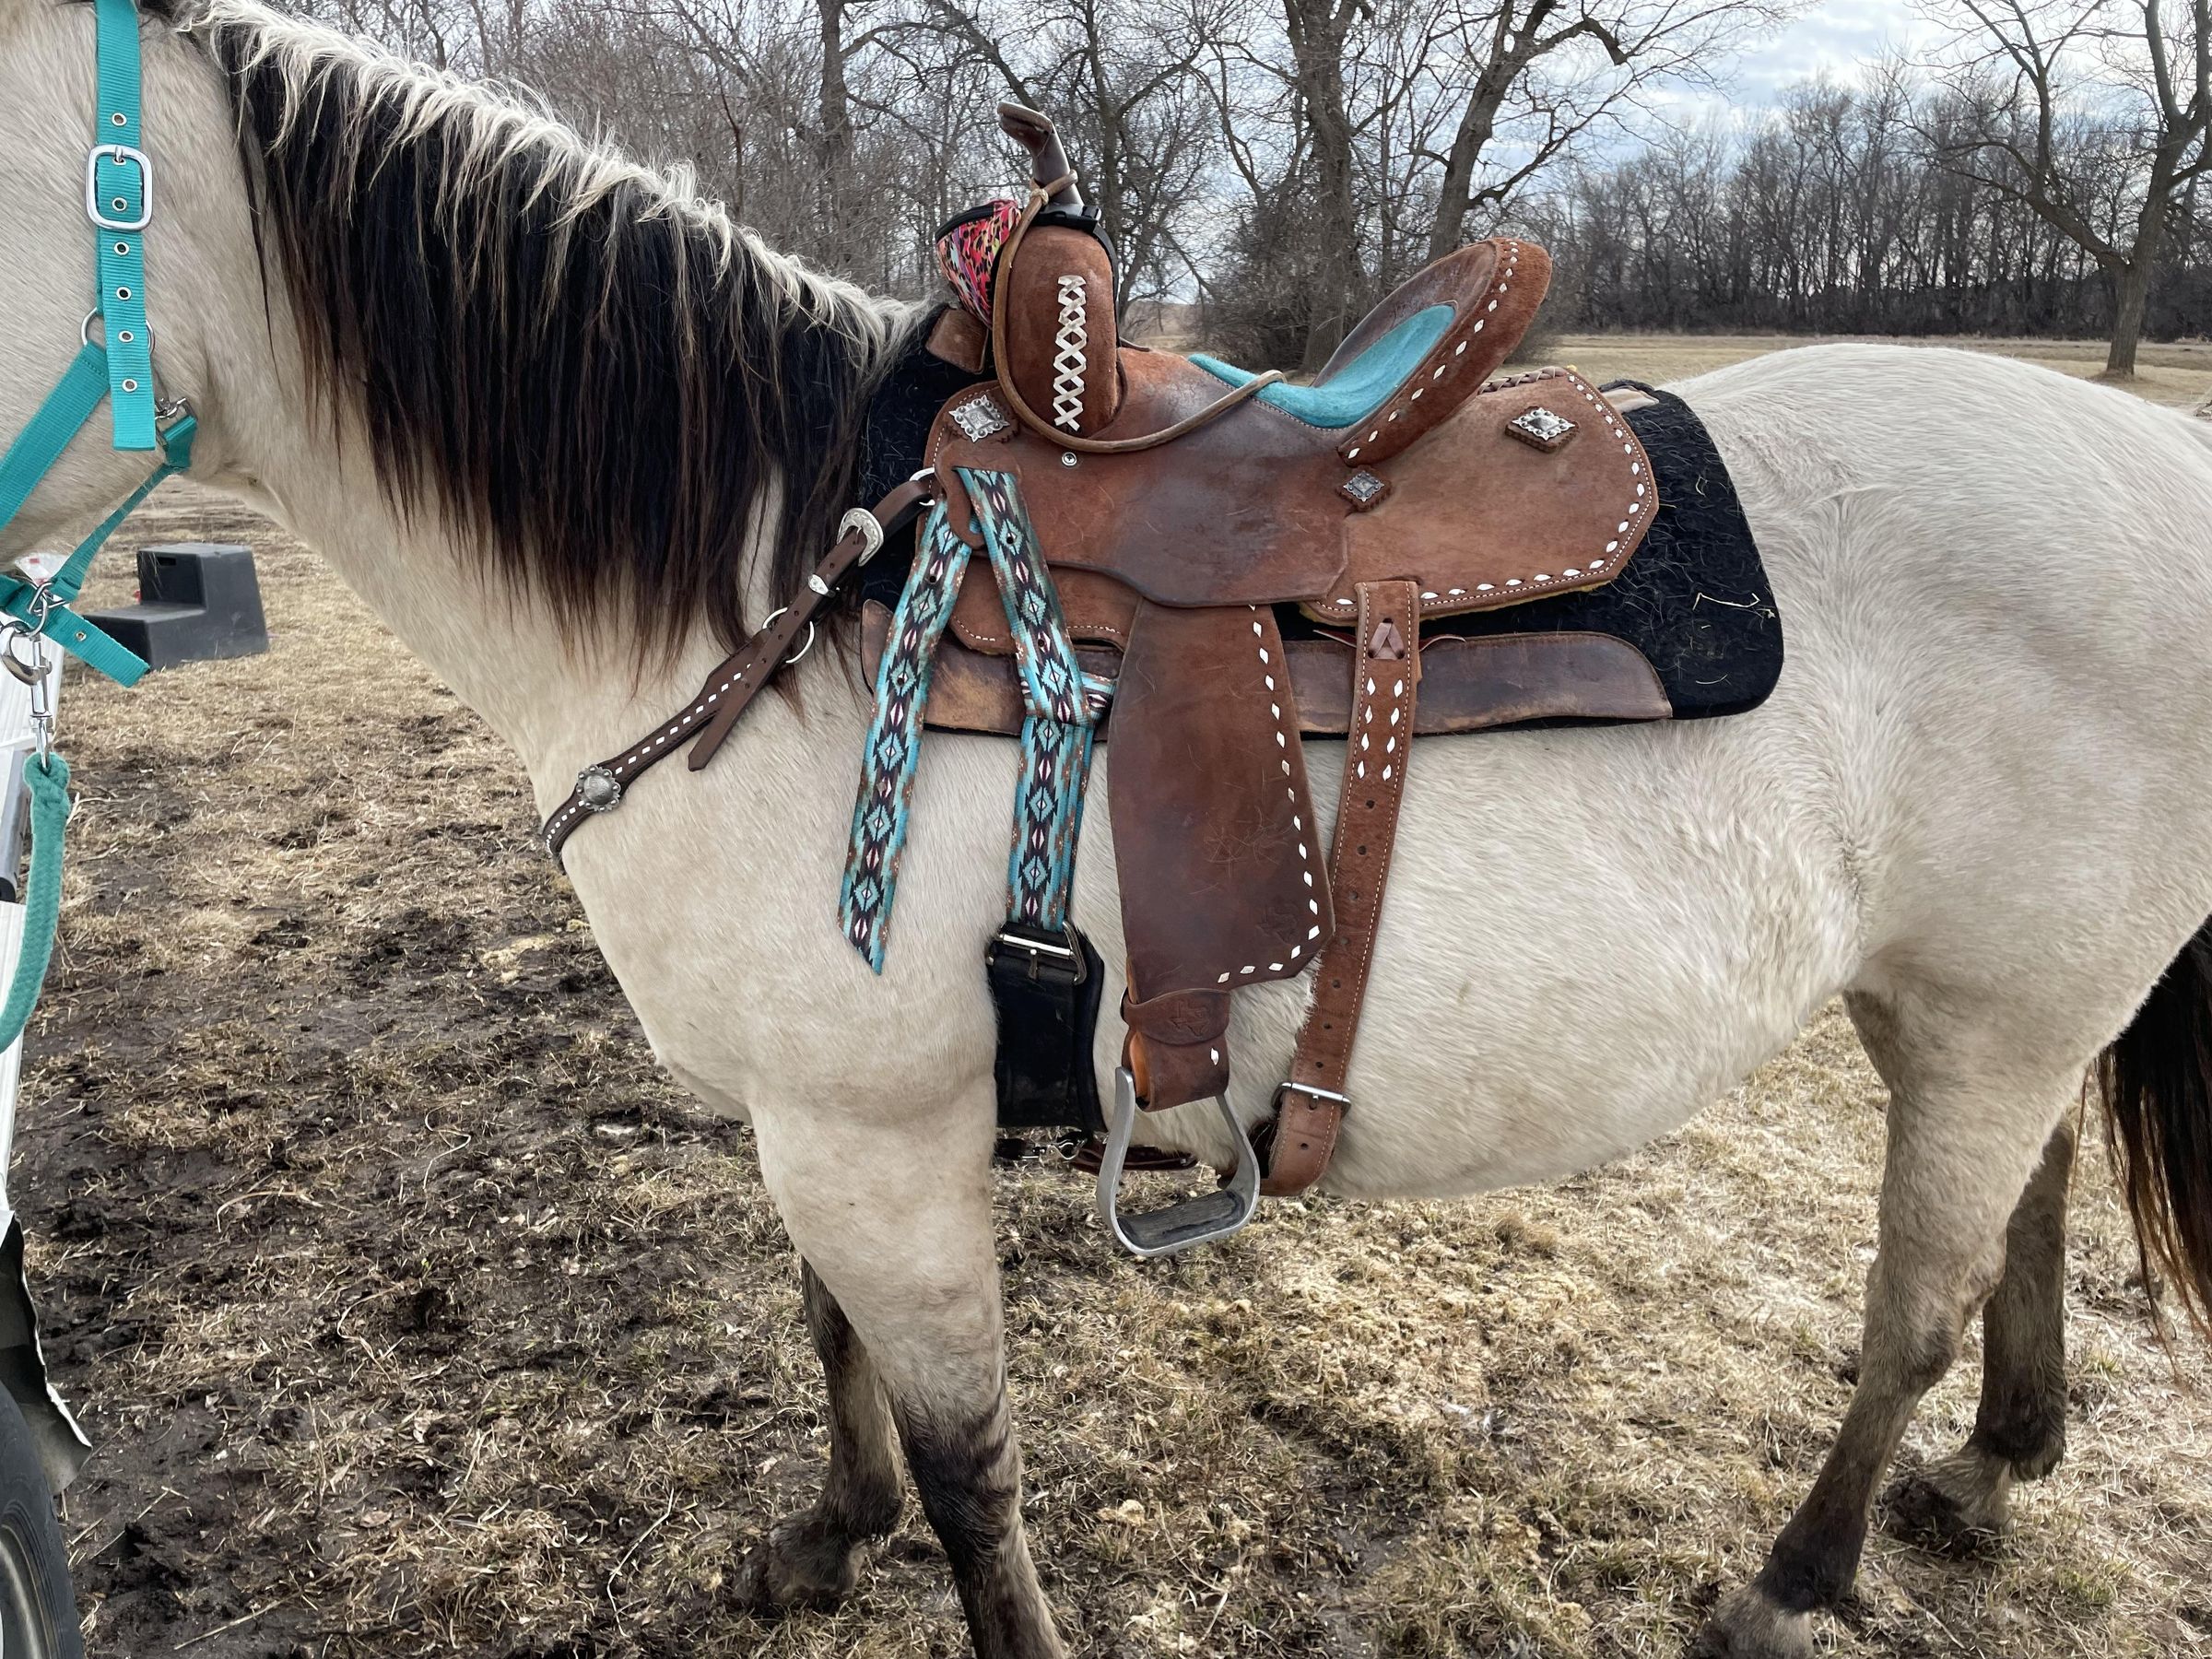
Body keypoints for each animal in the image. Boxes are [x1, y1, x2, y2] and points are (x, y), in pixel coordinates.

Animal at [3, 3, 2209, 1655]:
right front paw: (824, 1538)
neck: (773, 588)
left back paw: (1796, 1582)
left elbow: (972, 1465)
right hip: (1960, 1004)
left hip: (2003, 1009)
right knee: (2025, 1211)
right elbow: (831, 1340)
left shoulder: (875, 1131)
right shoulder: (827, 1121)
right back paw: (1996, 1467)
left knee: (1915, 1293)